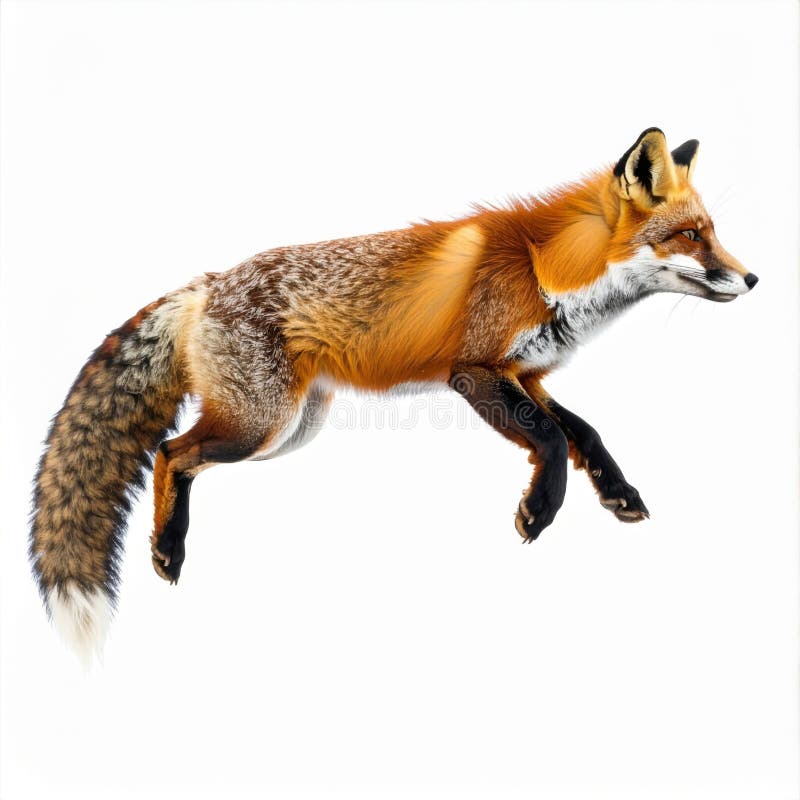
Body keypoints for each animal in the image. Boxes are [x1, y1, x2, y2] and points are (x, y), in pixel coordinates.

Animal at [30, 127, 758, 663]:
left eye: (711, 232)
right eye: (692, 236)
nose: (753, 279)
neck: (546, 267)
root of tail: (206, 285)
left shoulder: (526, 376)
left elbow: (583, 432)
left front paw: (617, 492)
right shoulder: (473, 372)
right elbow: (552, 439)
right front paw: (539, 511)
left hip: (288, 431)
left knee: (176, 454)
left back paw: (168, 548)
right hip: (260, 425)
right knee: (169, 451)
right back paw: (168, 550)